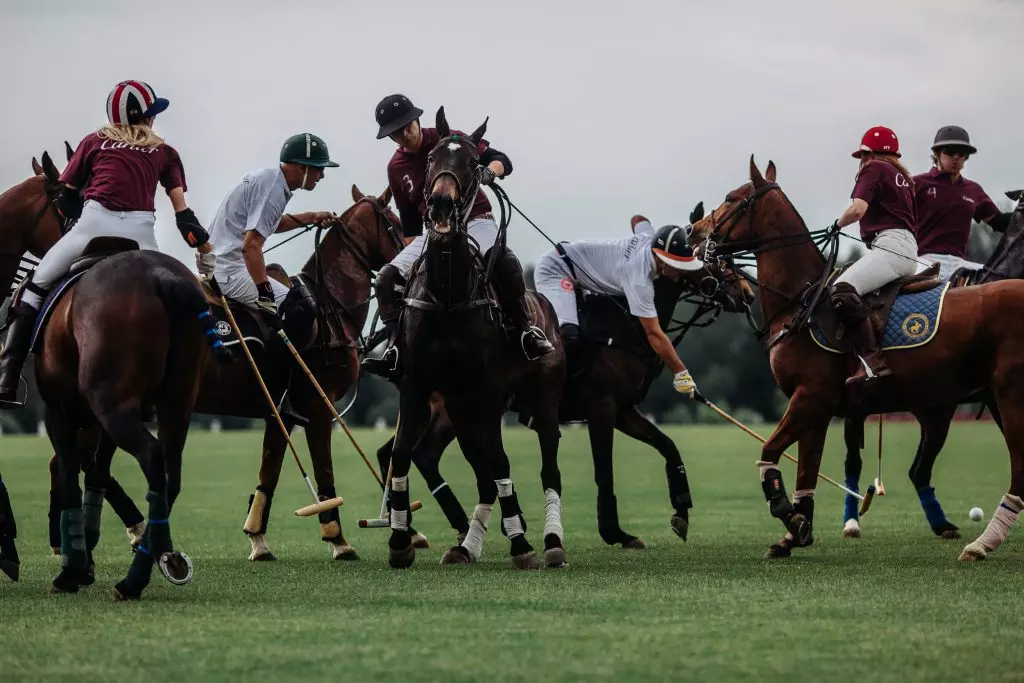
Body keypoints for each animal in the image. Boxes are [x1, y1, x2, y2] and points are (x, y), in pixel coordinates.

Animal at [33, 245, 212, 598]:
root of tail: (163, 277)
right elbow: (96, 474)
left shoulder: (58, 409)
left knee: (152, 456)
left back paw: (137, 576)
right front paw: (85, 558)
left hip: (113, 405)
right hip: (177, 401)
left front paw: (72, 569)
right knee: (170, 472)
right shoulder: (95, 422)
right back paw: (149, 563)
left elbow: (69, 471)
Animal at [385, 108, 569, 573]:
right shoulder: (416, 386)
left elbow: (503, 461)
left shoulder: (486, 389)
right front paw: (399, 541)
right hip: (459, 409)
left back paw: (551, 541)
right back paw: (466, 546)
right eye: (432, 157)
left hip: (542, 397)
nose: (441, 204)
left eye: (472, 160)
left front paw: (522, 546)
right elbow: (401, 453)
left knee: (548, 468)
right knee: (482, 472)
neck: (447, 294)